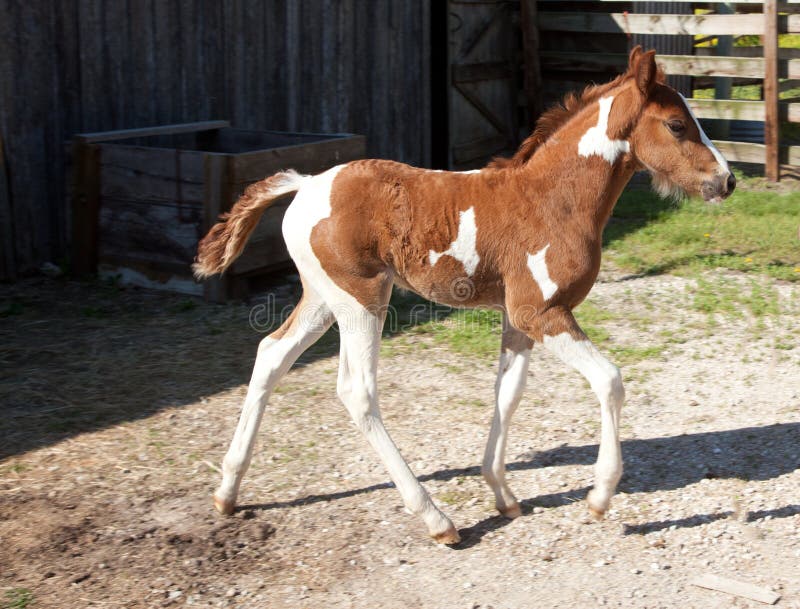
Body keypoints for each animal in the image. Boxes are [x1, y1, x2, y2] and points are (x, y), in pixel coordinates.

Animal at [193, 47, 735, 545]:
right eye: (677, 125)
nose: (726, 181)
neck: (551, 199)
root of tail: (305, 184)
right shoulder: (541, 312)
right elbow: (610, 380)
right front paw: (600, 495)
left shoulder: (517, 318)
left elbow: (507, 394)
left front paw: (502, 493)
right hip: (362, 299)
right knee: (357, 391)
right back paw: (436, 519)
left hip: (323, 297)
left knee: (272, 355)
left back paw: (227, 491)